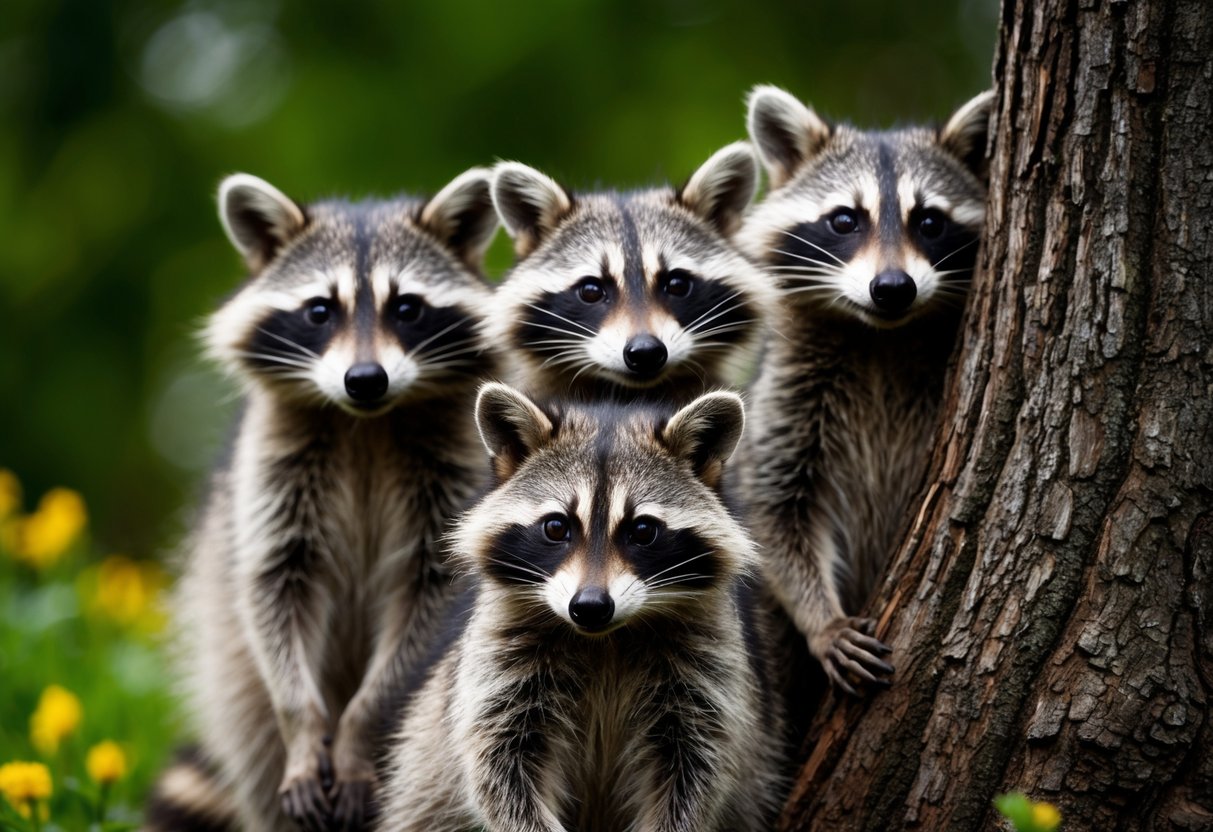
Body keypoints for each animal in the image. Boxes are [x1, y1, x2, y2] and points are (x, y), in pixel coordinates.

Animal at [147, 169, 500, 832]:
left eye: (406, 308)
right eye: (319, 311)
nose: (365, 380)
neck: (366, 422)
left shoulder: (453, 469)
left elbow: (426, 595)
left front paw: (361, 726)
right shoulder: (273, 472)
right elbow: (274, 589)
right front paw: (305, 726)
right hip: (232, 673)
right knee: (255, 743)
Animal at [377, 384, 785, 832]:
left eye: (643, 530)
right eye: (556, 527)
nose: (590, 606)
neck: (605, 640)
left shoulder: (707, 662)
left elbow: (695, 770)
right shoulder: (500, 655)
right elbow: (500, 766)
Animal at [735, 86, 994, 695]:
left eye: (930, 221)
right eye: (844, 219)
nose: (893, 288)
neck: (881, 338)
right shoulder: (788, 396)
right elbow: (776, 512)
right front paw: (822, 619)